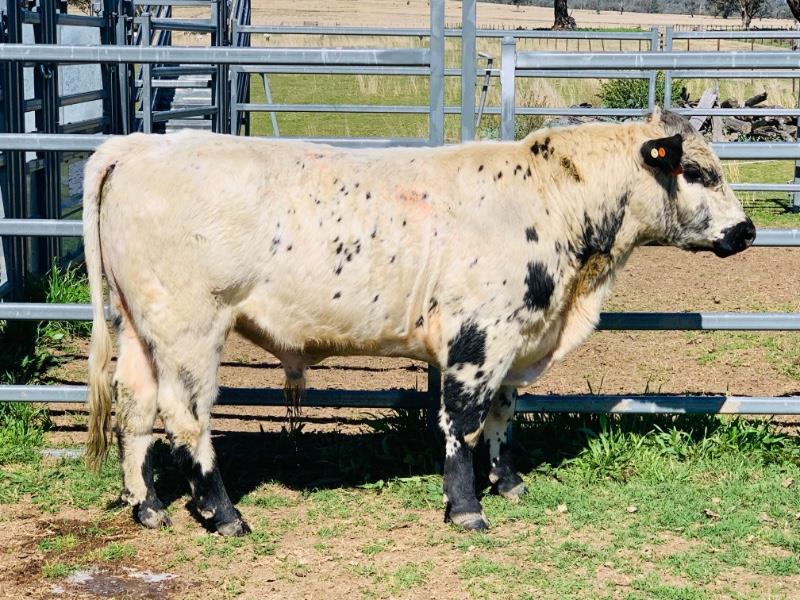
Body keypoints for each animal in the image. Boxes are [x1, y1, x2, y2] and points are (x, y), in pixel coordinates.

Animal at [83, 109, 755, 535]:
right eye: (699, 171)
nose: (747, 231)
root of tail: (139, 145)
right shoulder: (478, 338)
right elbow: (462, 422)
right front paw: (466, 509)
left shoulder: (515, 340)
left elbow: (503, 416)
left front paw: (508, 482)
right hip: (190, 329)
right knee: (186, 418)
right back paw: (224, 515)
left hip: (143, 328)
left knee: (135, 406)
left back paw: (148, 507)